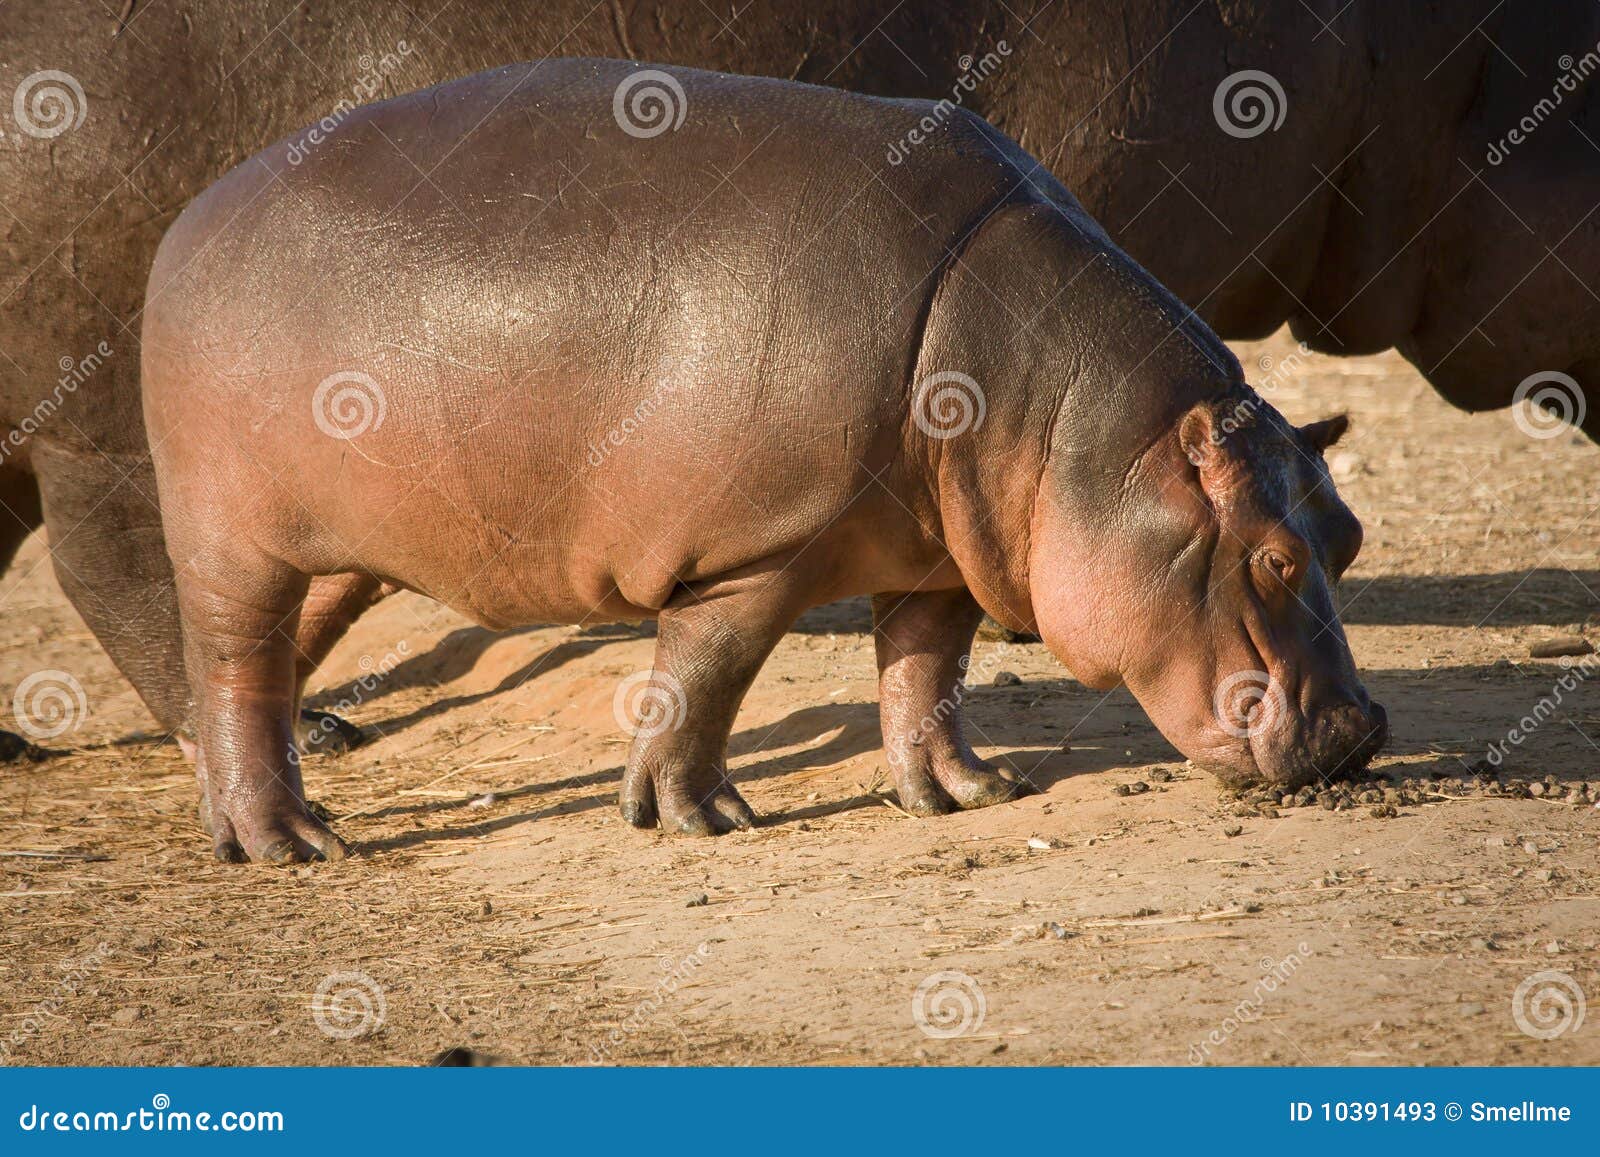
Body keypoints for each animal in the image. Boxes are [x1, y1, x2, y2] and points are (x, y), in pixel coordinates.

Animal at [141, 59, 1387, 862]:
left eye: (1348, 536)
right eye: (1272, 560)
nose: (1359, 732)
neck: (1073, 421)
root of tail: (188, 221)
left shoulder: (937, 556)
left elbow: (925, 675)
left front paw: (967, 791)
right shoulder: (754, 551)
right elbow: (703, 682)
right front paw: (702, 819)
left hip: (343, 546)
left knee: (253, 673)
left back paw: (227, 813)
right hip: (231, 539)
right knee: (238, 665)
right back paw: (290, 843)